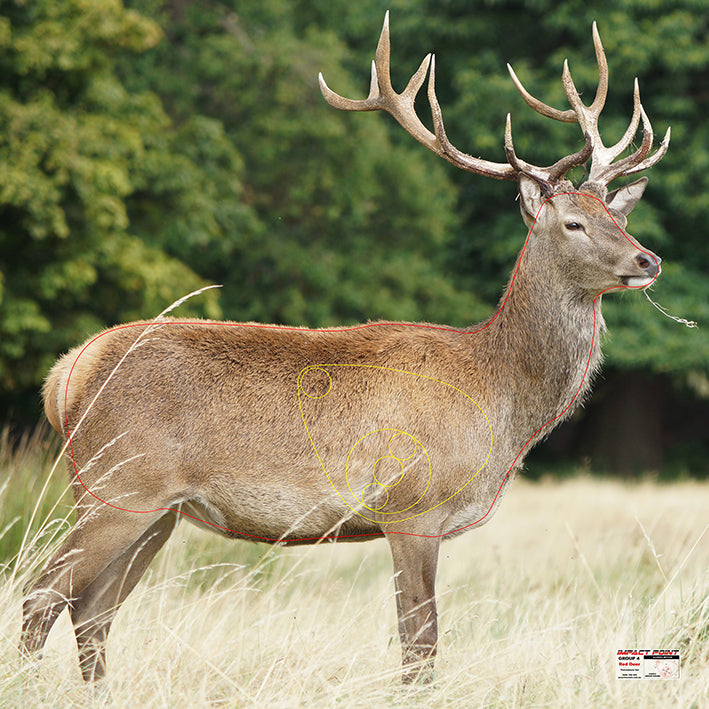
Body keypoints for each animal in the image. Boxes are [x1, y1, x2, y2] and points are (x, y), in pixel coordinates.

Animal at [22, 12, 669, 684]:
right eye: (573, 222)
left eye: (618, 217)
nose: (648, 260)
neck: (499, 401)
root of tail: (65, 375)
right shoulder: (412, 507)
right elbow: (420, 644)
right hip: (116, 484)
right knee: (41, 595)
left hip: (156, 507)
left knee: (93, 610)